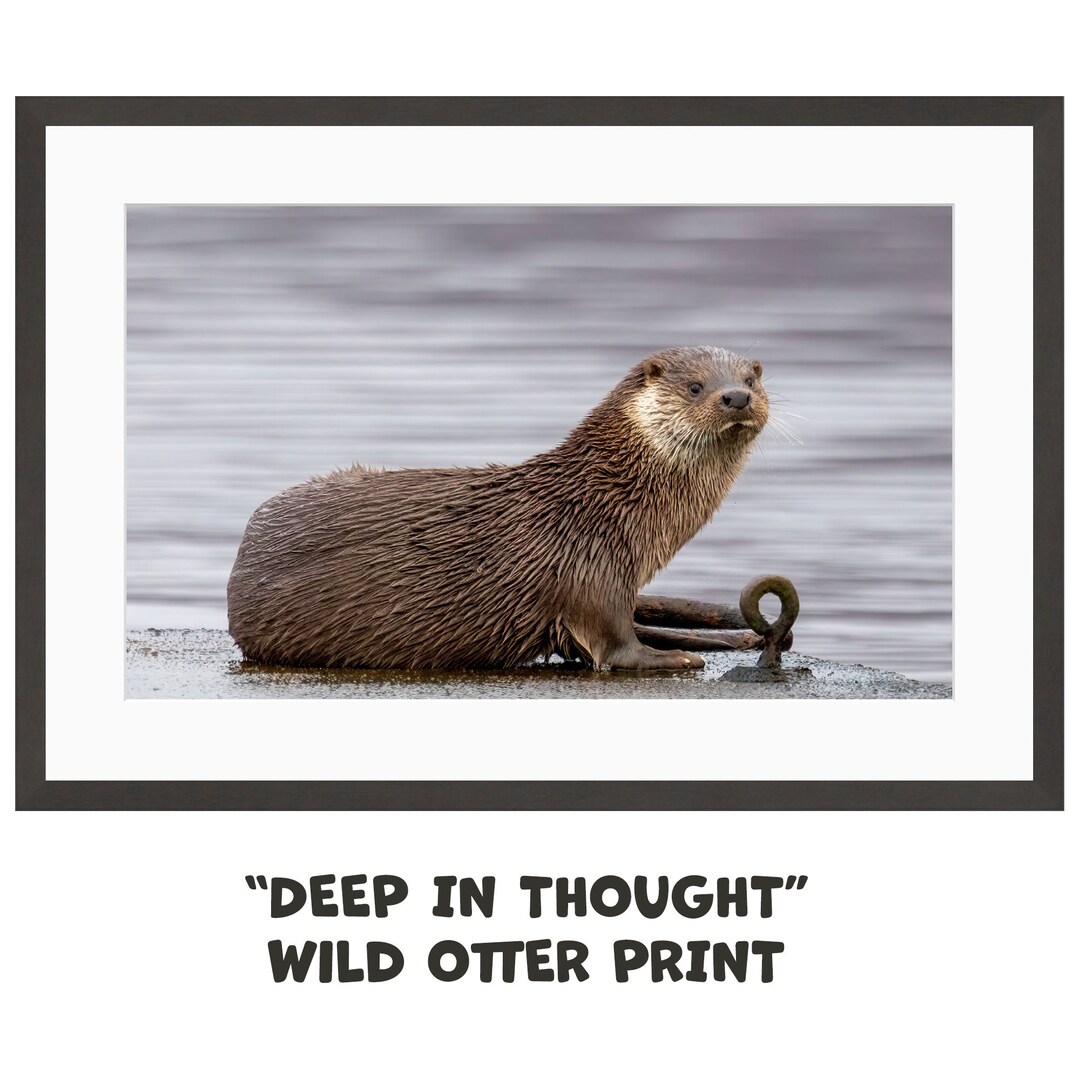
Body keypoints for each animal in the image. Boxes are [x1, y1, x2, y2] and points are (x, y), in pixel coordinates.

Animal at [227, 346, 769, 671]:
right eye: (695, 386)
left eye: (751, 379)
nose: (736, 396)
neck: (602, 501)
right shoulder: (593, 572)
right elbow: (617, 643)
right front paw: (672, 659)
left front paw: (729, 641)